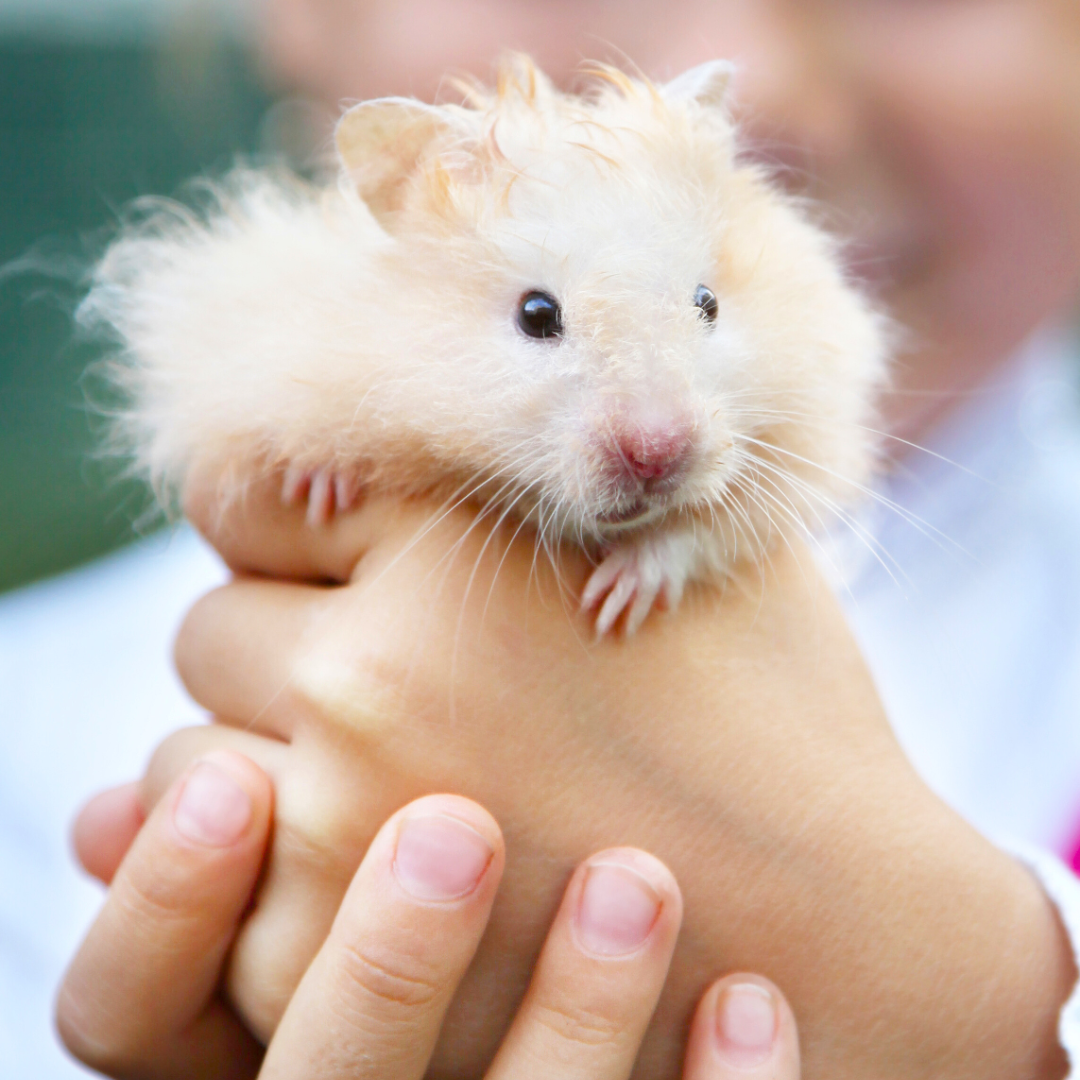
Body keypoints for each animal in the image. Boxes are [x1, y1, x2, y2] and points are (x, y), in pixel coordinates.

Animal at [82, 55, 886, 636]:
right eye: (536, 314)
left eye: (708, 303)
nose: (660, 455)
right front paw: (319, 487)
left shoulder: (807, 451)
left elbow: (710, 531)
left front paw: (618, 598)